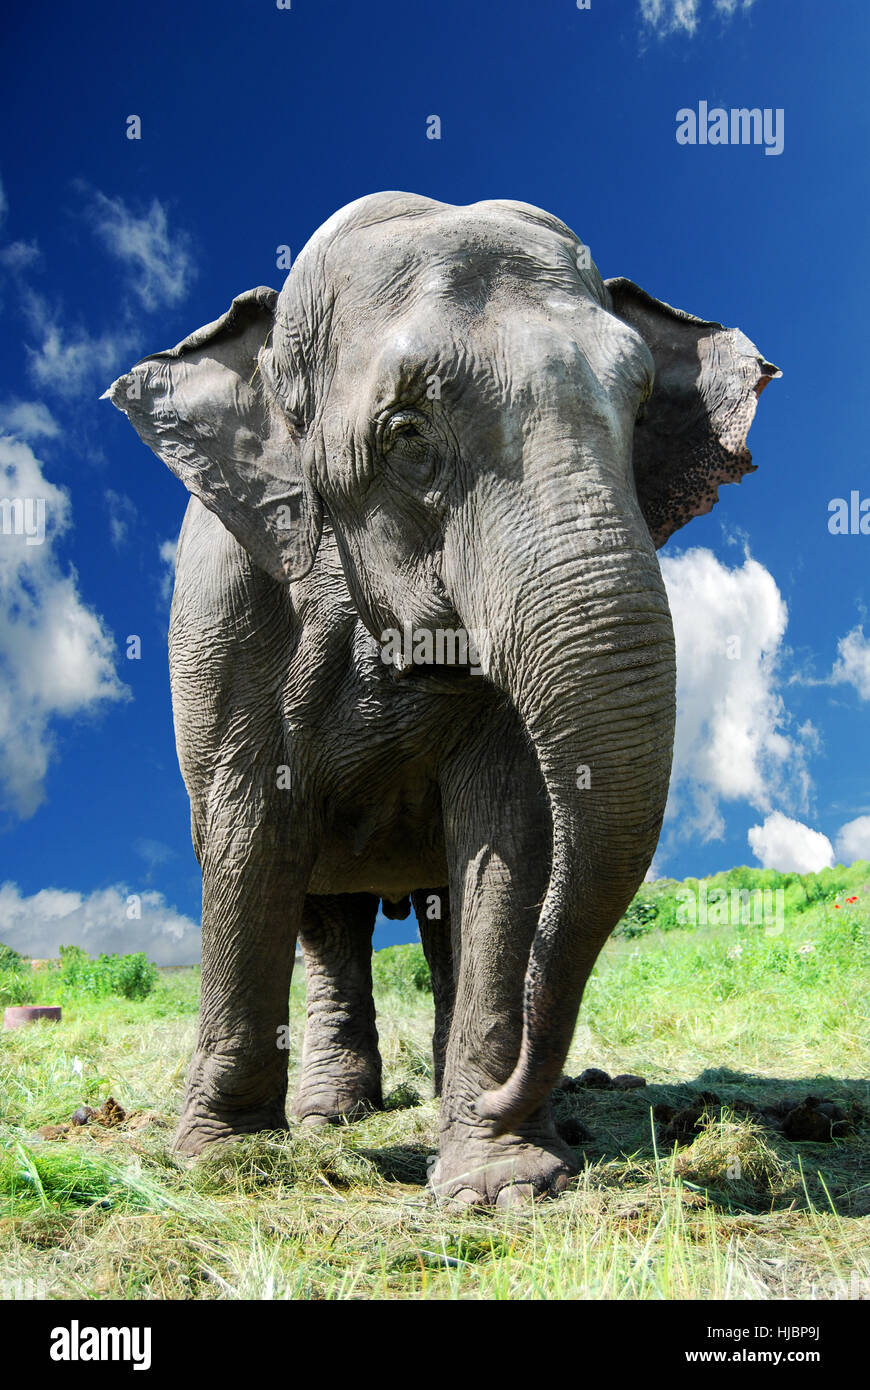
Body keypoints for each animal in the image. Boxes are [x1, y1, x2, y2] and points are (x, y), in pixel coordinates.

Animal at [104, 192, 778, 1206]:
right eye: (408, 433)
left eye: (639, 409)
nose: (525, 1089)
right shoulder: (226, 613)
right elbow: (248, 829)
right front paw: (223, 1163)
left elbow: (508, 828)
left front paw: (504, 1183)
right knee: (326, 914)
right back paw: (332, 1116)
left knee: (429, 912)